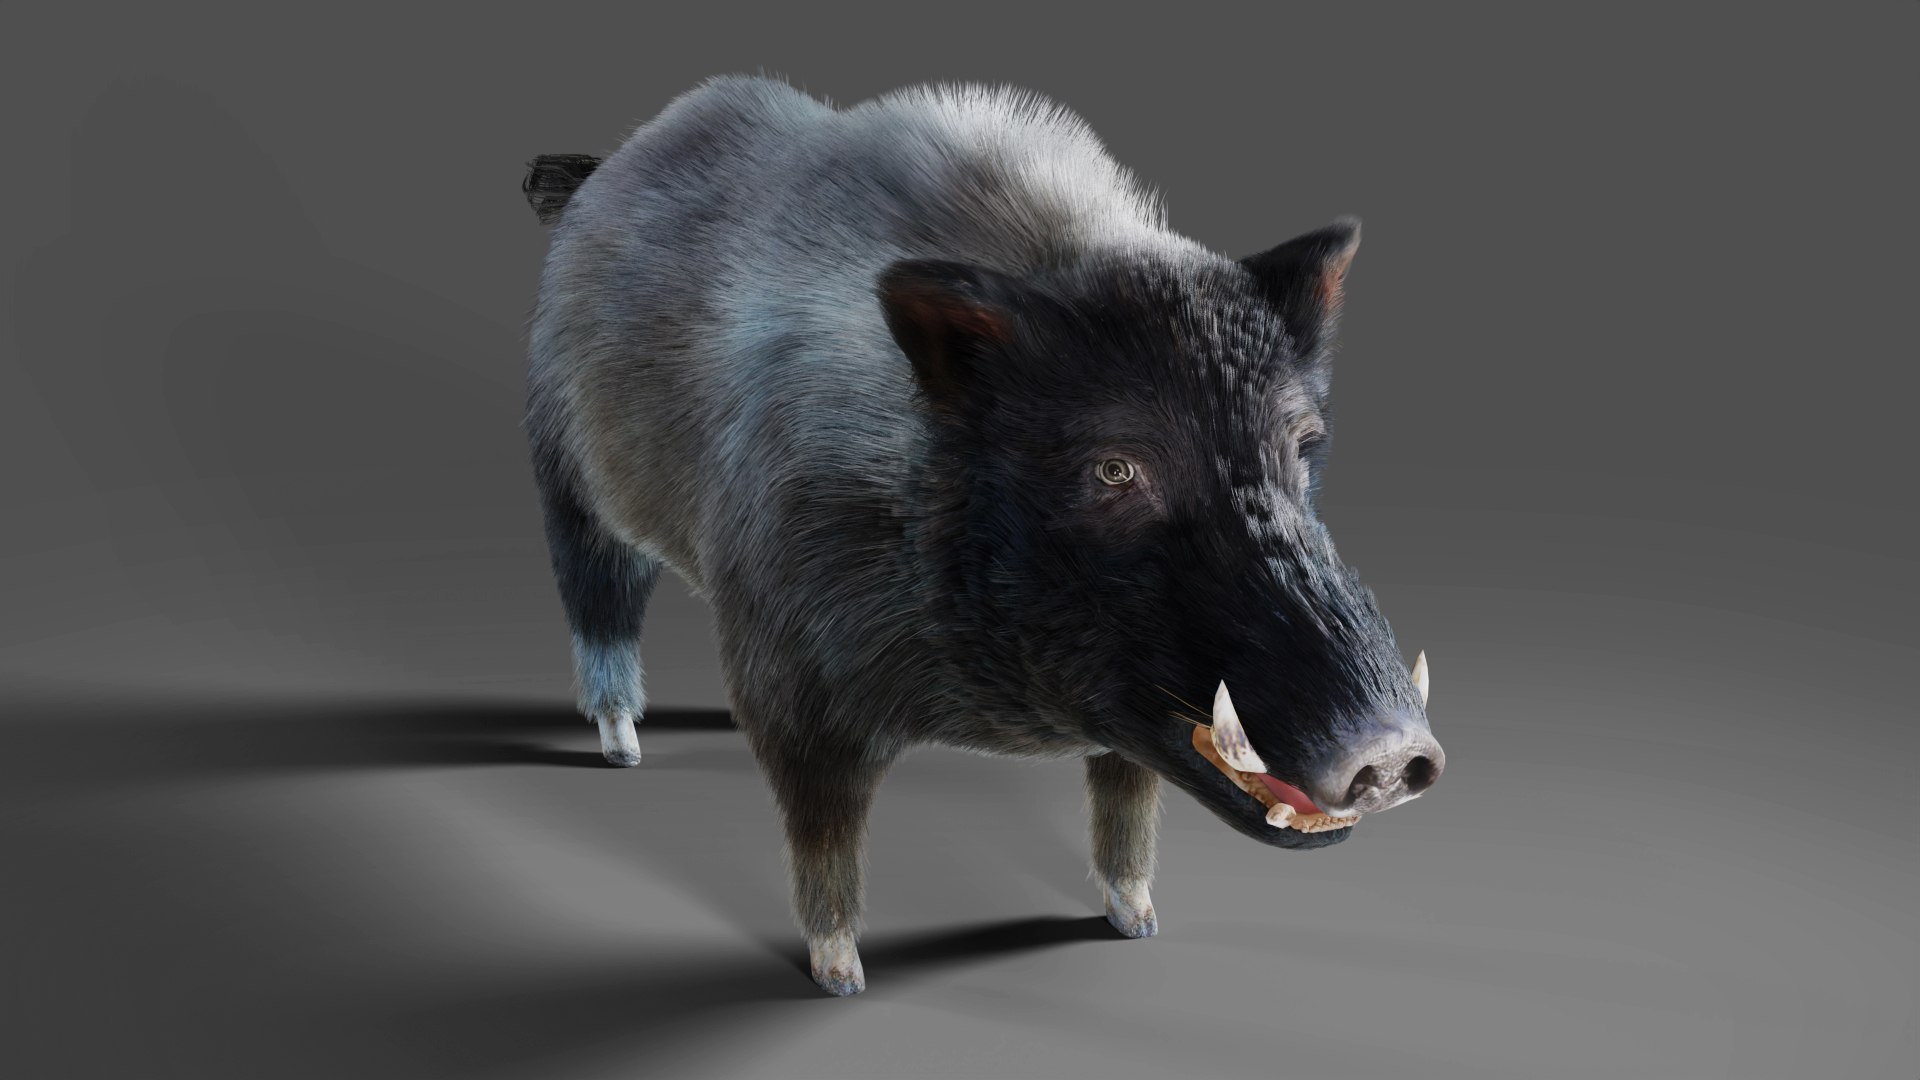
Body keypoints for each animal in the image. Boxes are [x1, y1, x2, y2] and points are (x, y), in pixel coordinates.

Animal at [521, 75, 1444, 996]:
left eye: (1301, 445)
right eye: (1117, 469)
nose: (1397, 751)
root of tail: (603, 171)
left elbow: (1128, 795)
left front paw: (1137, 923)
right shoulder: (796, 680)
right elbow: (822, 827)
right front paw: (841, 977)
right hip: (565, 480)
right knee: (595, 597)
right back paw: (623, 749)